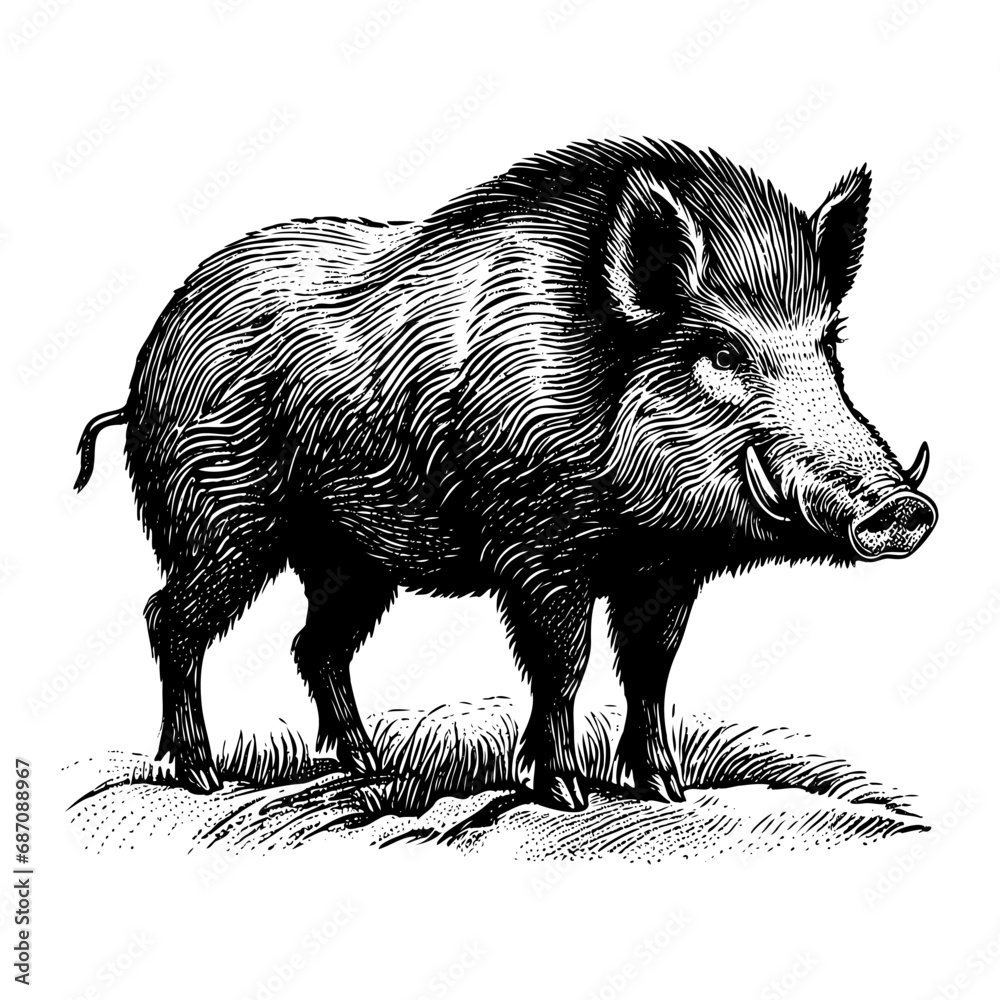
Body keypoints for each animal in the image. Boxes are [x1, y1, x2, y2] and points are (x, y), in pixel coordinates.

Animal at [74, 138, 937, 808]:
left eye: (828, 345)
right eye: (722, 352)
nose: (902, 508)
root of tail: (145, 369)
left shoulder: (664, 568)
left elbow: (651, 666)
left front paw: (666, 791)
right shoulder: (539, 547)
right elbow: (564, 663)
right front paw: (565, 793)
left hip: (350, 555)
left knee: (314, 643)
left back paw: (367, 765)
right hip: (218, 515)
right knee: (171, 618)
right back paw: (200, 775)